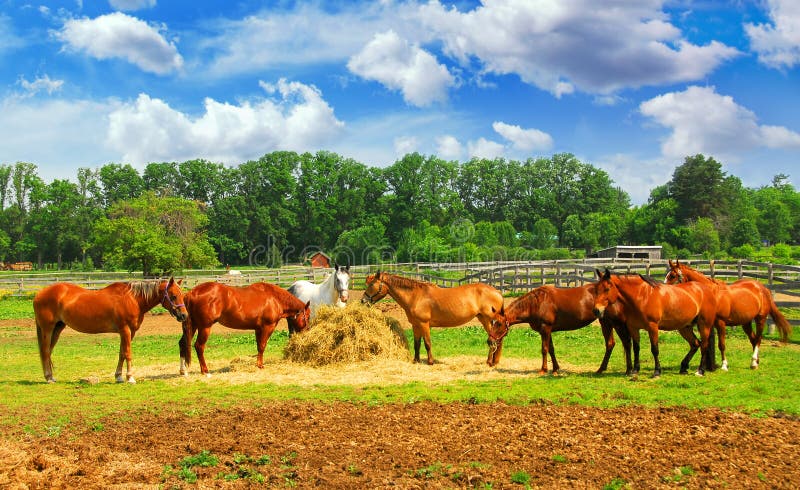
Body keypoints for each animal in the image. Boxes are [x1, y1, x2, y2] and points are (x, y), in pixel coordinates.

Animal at [33, 277, 188, 383]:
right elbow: (128, 353)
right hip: (47, 328)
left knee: (48, 351)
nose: (184, 315)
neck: (133, 299)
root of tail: (39, 294)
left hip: (57, 328)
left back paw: (51, 376)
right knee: (45, 351)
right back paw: (49, 378)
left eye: (182, 295)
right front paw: (130, 377)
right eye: (173, 296)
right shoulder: (125, 330)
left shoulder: (129, 332)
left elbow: (121, 353)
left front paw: (118, 376)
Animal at [179, 282, 311, 376]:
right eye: (308, 316)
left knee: (183, 343)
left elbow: (259, 346)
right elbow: (262, 346)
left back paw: (183, 371)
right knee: (199, 346)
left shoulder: (258, 329)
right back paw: (205, 370)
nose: (308, 330)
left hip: (193, 326)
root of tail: (192, 293)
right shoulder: (268, 327)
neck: (274, 298)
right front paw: (260, 365)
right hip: (205, 327)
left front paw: (258, 363)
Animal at [362, 271, 504, 366]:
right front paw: (416, 360)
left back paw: (490, 362)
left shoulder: (424, 324)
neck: (416, 296)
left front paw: (430, 361)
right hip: (484, 319)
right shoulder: (416, 325)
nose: (363, 301)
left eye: (372, 284)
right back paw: (492, 361)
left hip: (487, 320)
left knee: (494, 341)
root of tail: (497, 291)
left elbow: (427, 343)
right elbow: (417, 344)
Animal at [487, 281, 632, 375]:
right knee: (611, 344)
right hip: (606, 322)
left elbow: (544, 349)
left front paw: (543, 369)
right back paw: (604, 369)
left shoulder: (545, 329)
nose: (489, 341)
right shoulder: (547, 330)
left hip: (613, 323)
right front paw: (556, 369)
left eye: (499, 323)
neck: (536, 303)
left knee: (622, 343)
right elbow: (551, 349)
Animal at [590, 269, 719, 377]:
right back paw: (683, 367)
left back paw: (700, 370)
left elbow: (654, 349)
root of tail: (706, 289)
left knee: (704, 345)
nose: (596, 310)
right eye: (596, 290)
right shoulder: (633, 328)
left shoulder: (652, 327)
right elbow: (636, 348)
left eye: (607, 289)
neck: (642, 296)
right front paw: (635, 370)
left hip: (704, 325)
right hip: (684, 327)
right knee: (695, 344)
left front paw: (657, 371)